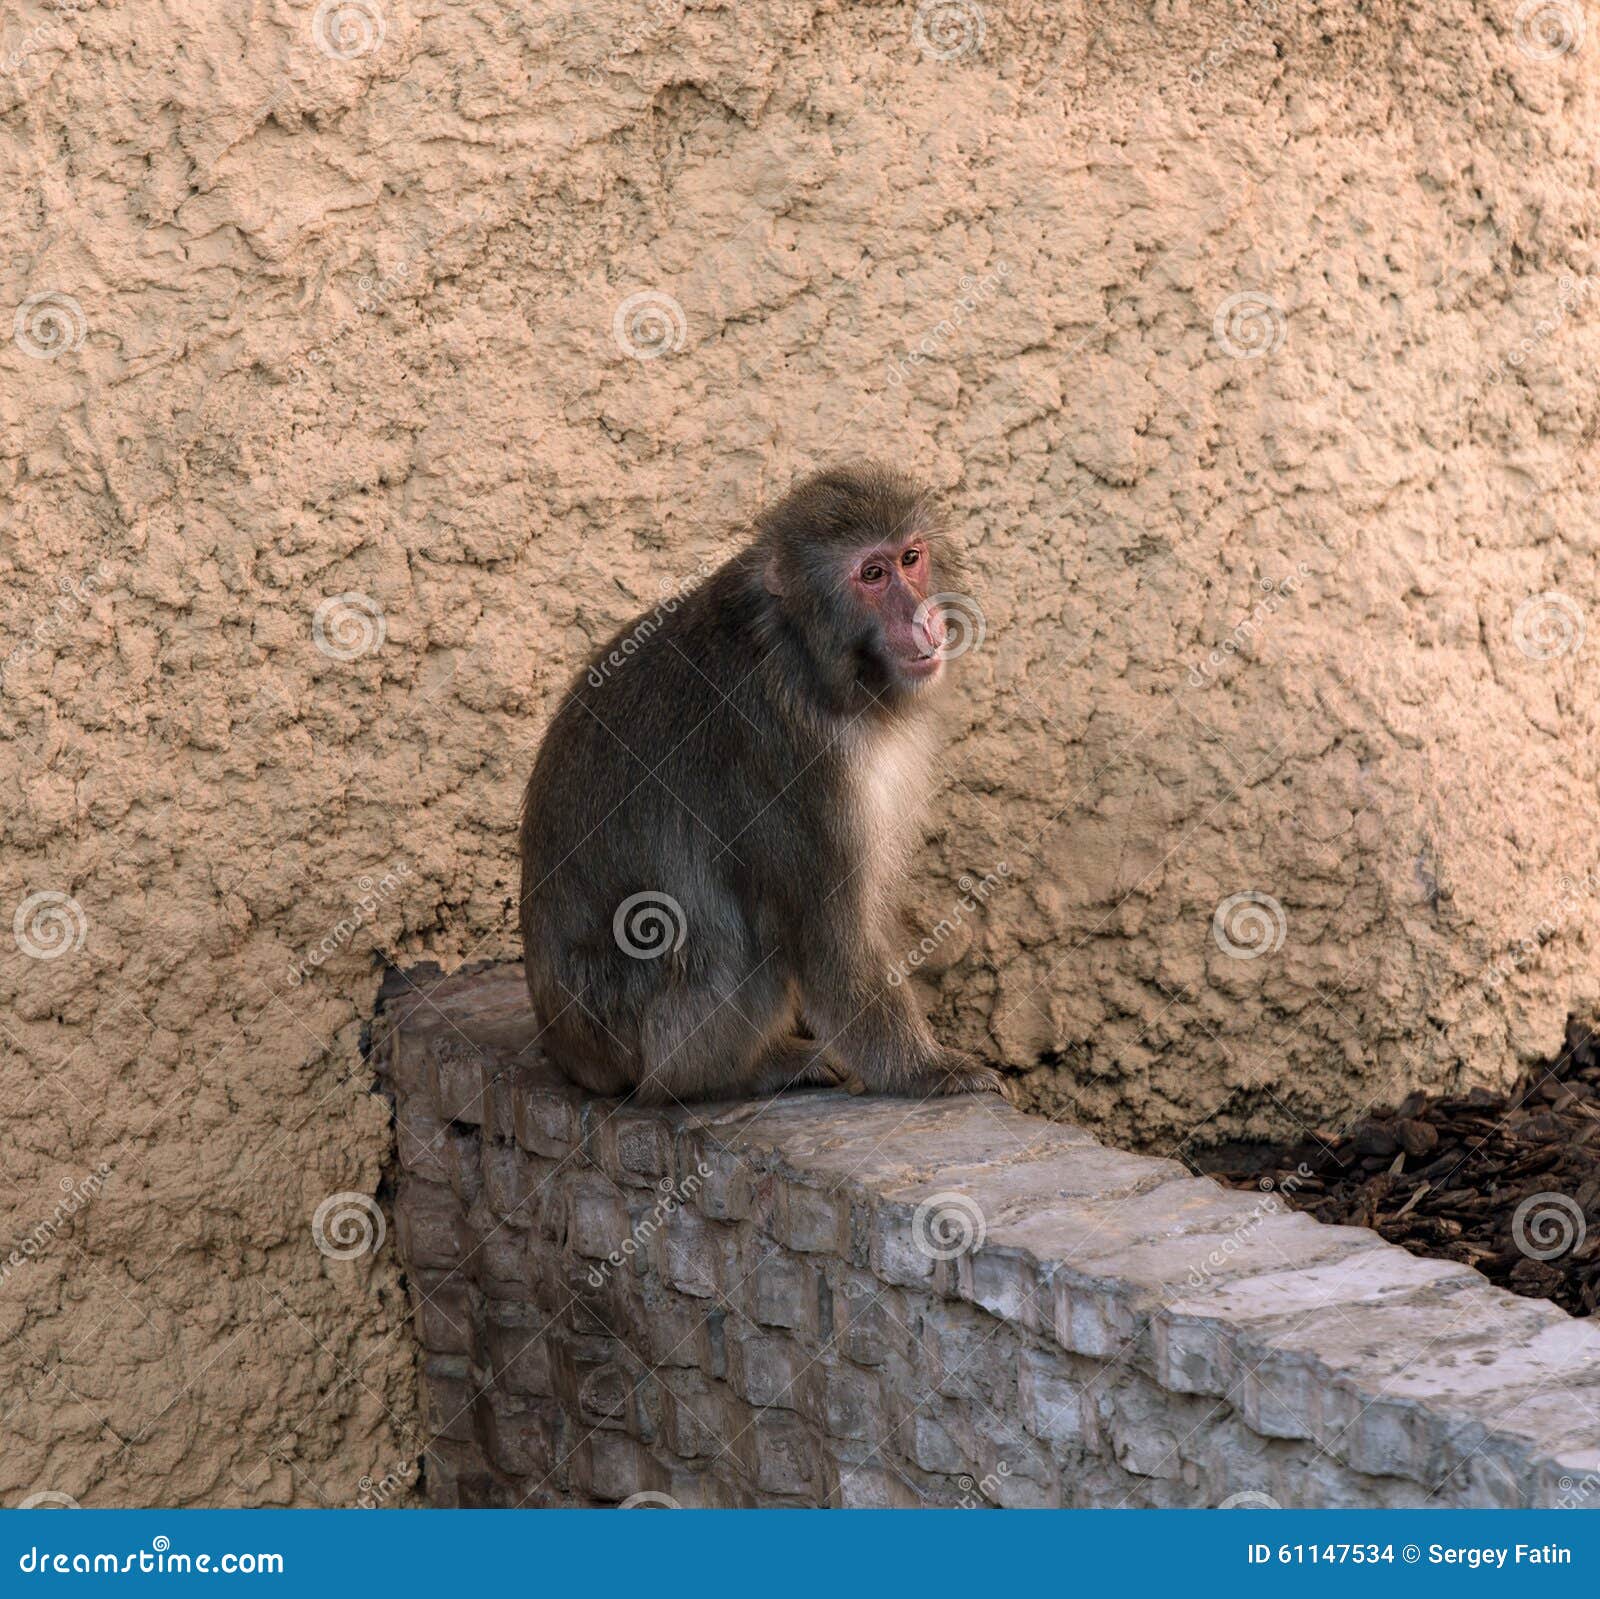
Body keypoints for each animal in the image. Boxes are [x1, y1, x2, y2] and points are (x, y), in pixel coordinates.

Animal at [517, 461, 1008, 1106]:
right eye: (872, 575)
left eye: (911, 558)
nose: (923, 616)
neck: (804, 654)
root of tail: (571, 1056)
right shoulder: (790, 757)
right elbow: (830, 943)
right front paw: (924, 1071)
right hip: (659, 1026)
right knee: (731, 933)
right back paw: (733, 1074)